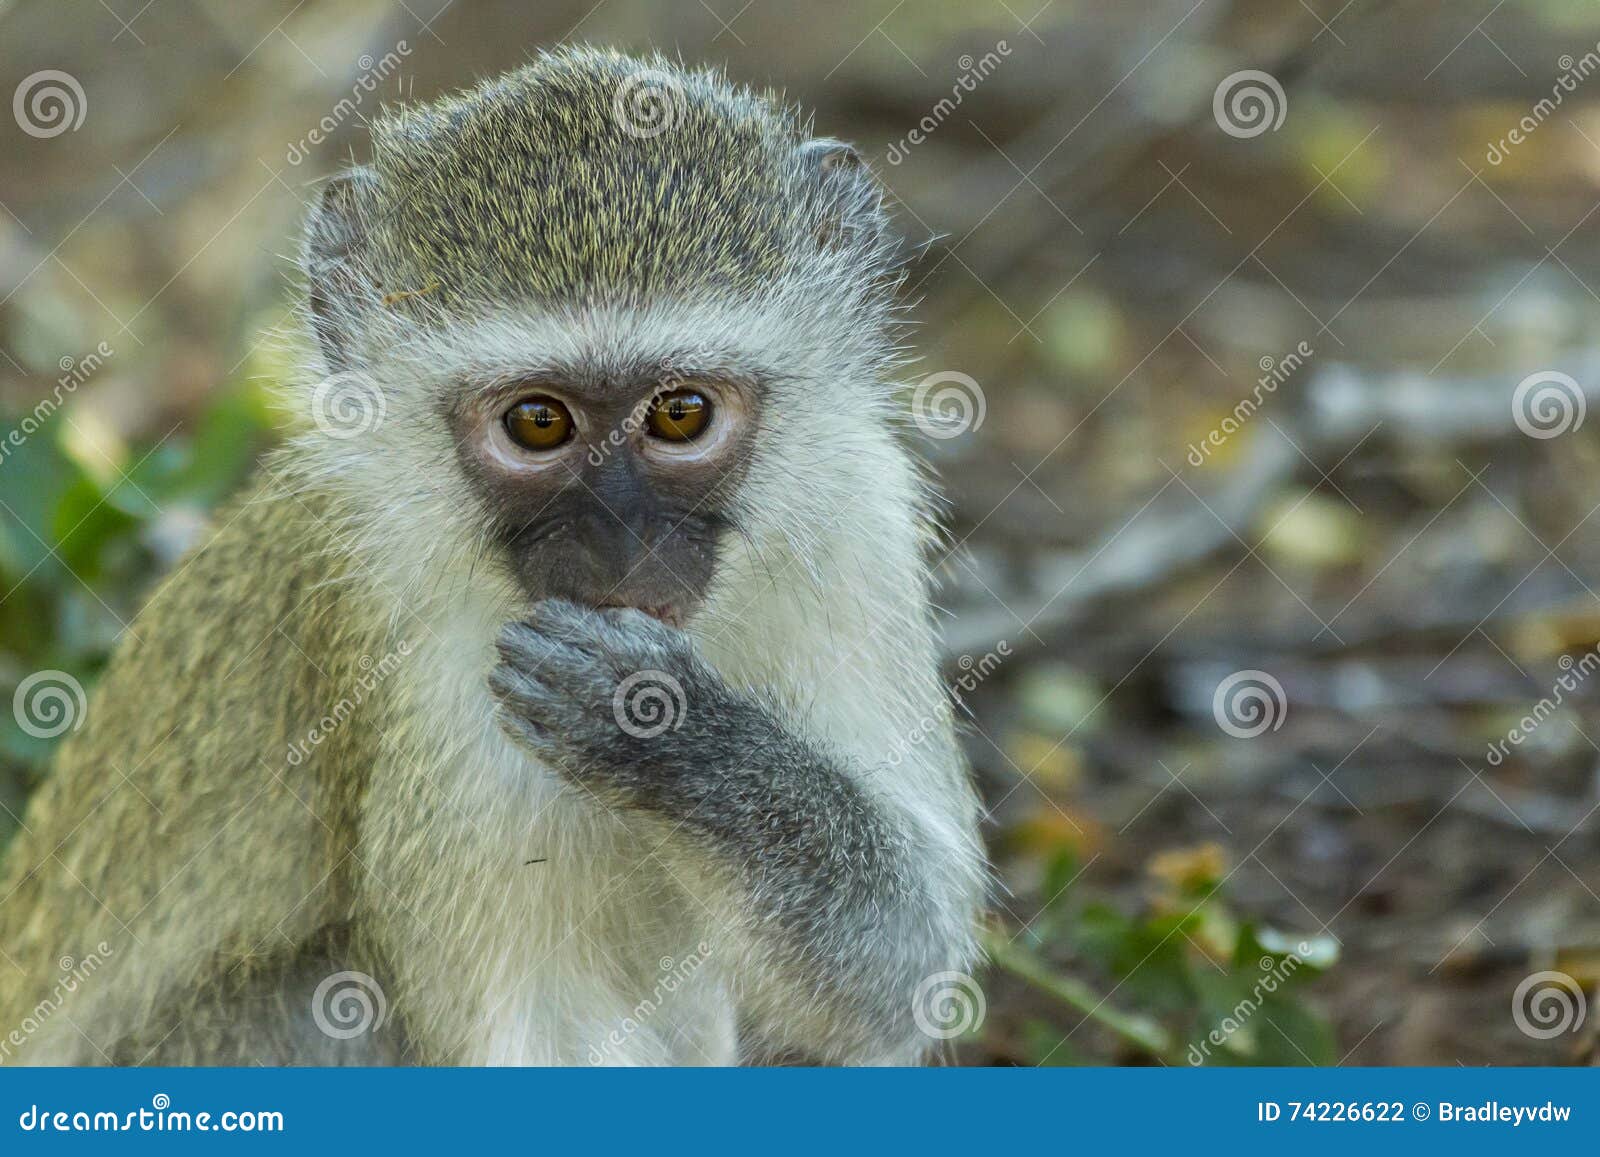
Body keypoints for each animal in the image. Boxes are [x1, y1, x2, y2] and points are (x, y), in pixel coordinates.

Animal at [0, 47, 986, 1066]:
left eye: (680, 413)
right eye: (537, 422)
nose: (623, 548)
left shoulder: (861, 520)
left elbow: (906, 959)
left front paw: (659, 723)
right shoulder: (437, 686)